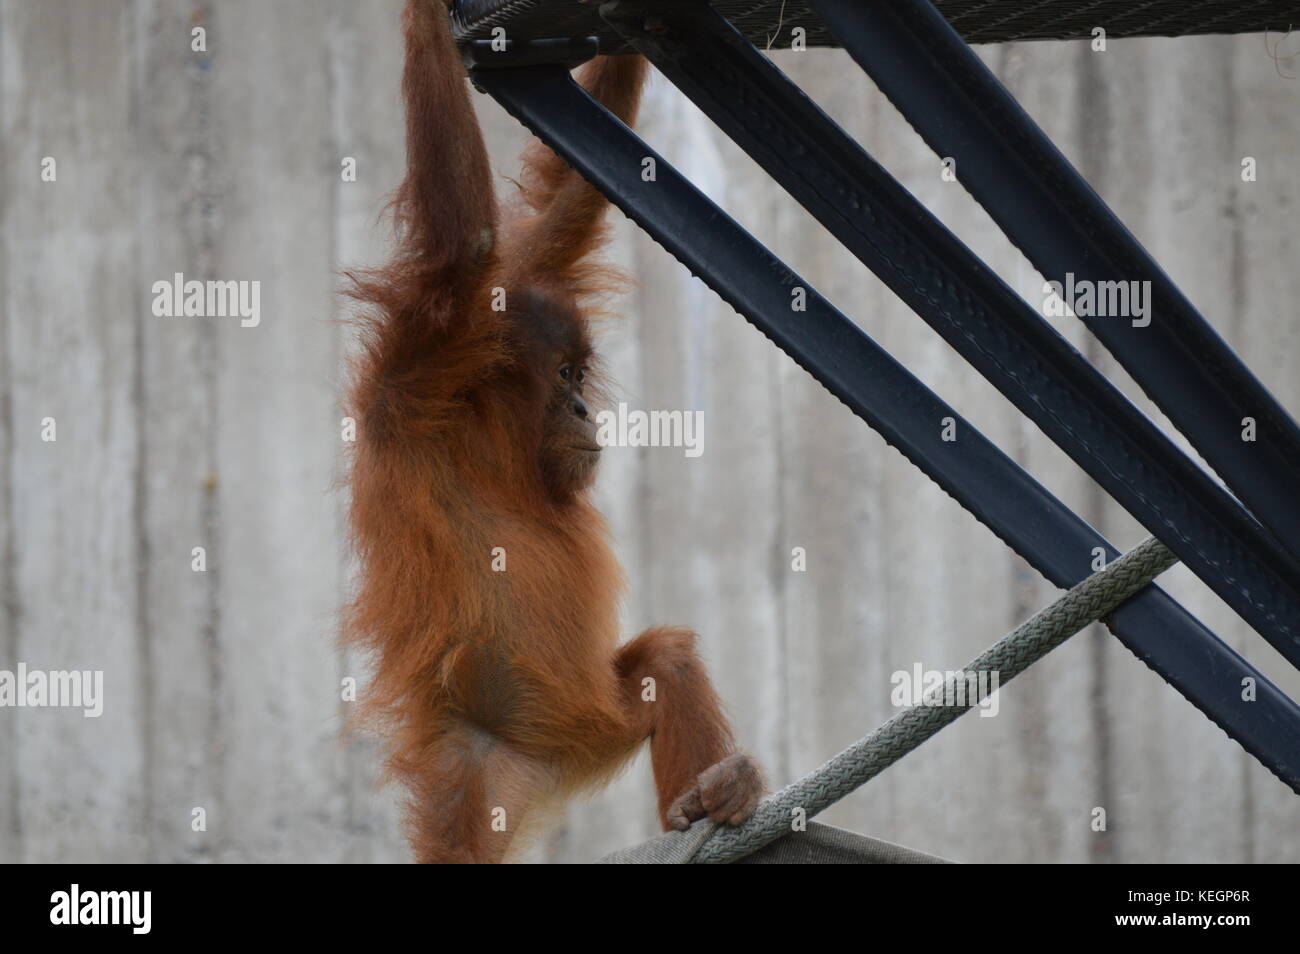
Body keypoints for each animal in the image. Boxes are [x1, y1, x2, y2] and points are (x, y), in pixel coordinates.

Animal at [342, 0, 763, 863]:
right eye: (562, 376)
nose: (582, 410)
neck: (482, 436)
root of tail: (558, 760)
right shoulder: (412, 367)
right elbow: (467, 240)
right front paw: (422, 17)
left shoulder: (515, 280)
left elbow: (562, 209)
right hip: (478, 768)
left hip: (606, 711)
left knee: (665, 658)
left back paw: (713, 797)